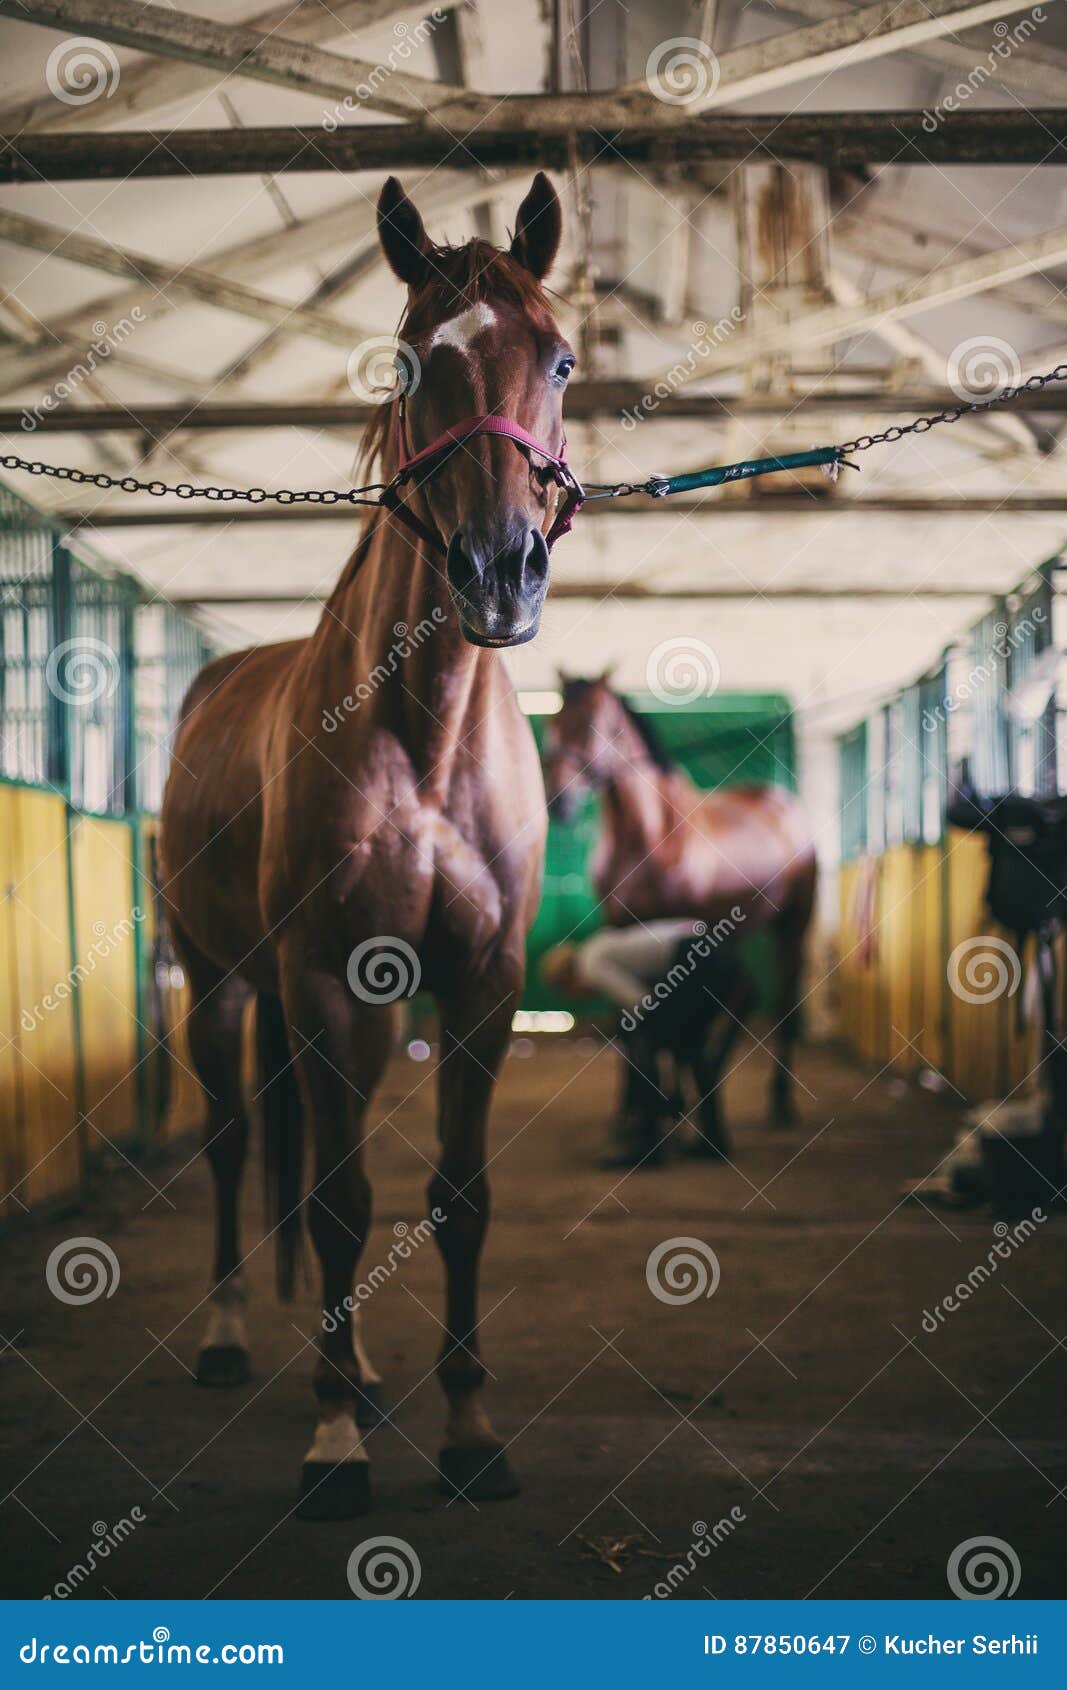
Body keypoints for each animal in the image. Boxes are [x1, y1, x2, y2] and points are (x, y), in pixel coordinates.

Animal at [159, 171, 573, 1520]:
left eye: (558, 358)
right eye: (408, 363)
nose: (498, 572)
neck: (425, 735)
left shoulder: (481, 984)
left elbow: (457, 1197)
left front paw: (469, 1429)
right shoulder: (324, 982)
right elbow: (338, 1204)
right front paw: (333, 1441)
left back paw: (373, 1372)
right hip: (221, 984)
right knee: (239, 1145)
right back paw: (235, 1338)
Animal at [541, 674, 817, 1130]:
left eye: (594, 723)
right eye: (554, 722)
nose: (559, 801)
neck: (650, 836)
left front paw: (667, 1102)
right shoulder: (617, 927)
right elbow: (626, 1024)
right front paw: (631, 1108)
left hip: (793, 929)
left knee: (786, 1007)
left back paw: (779, 1101)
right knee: (745, 996)